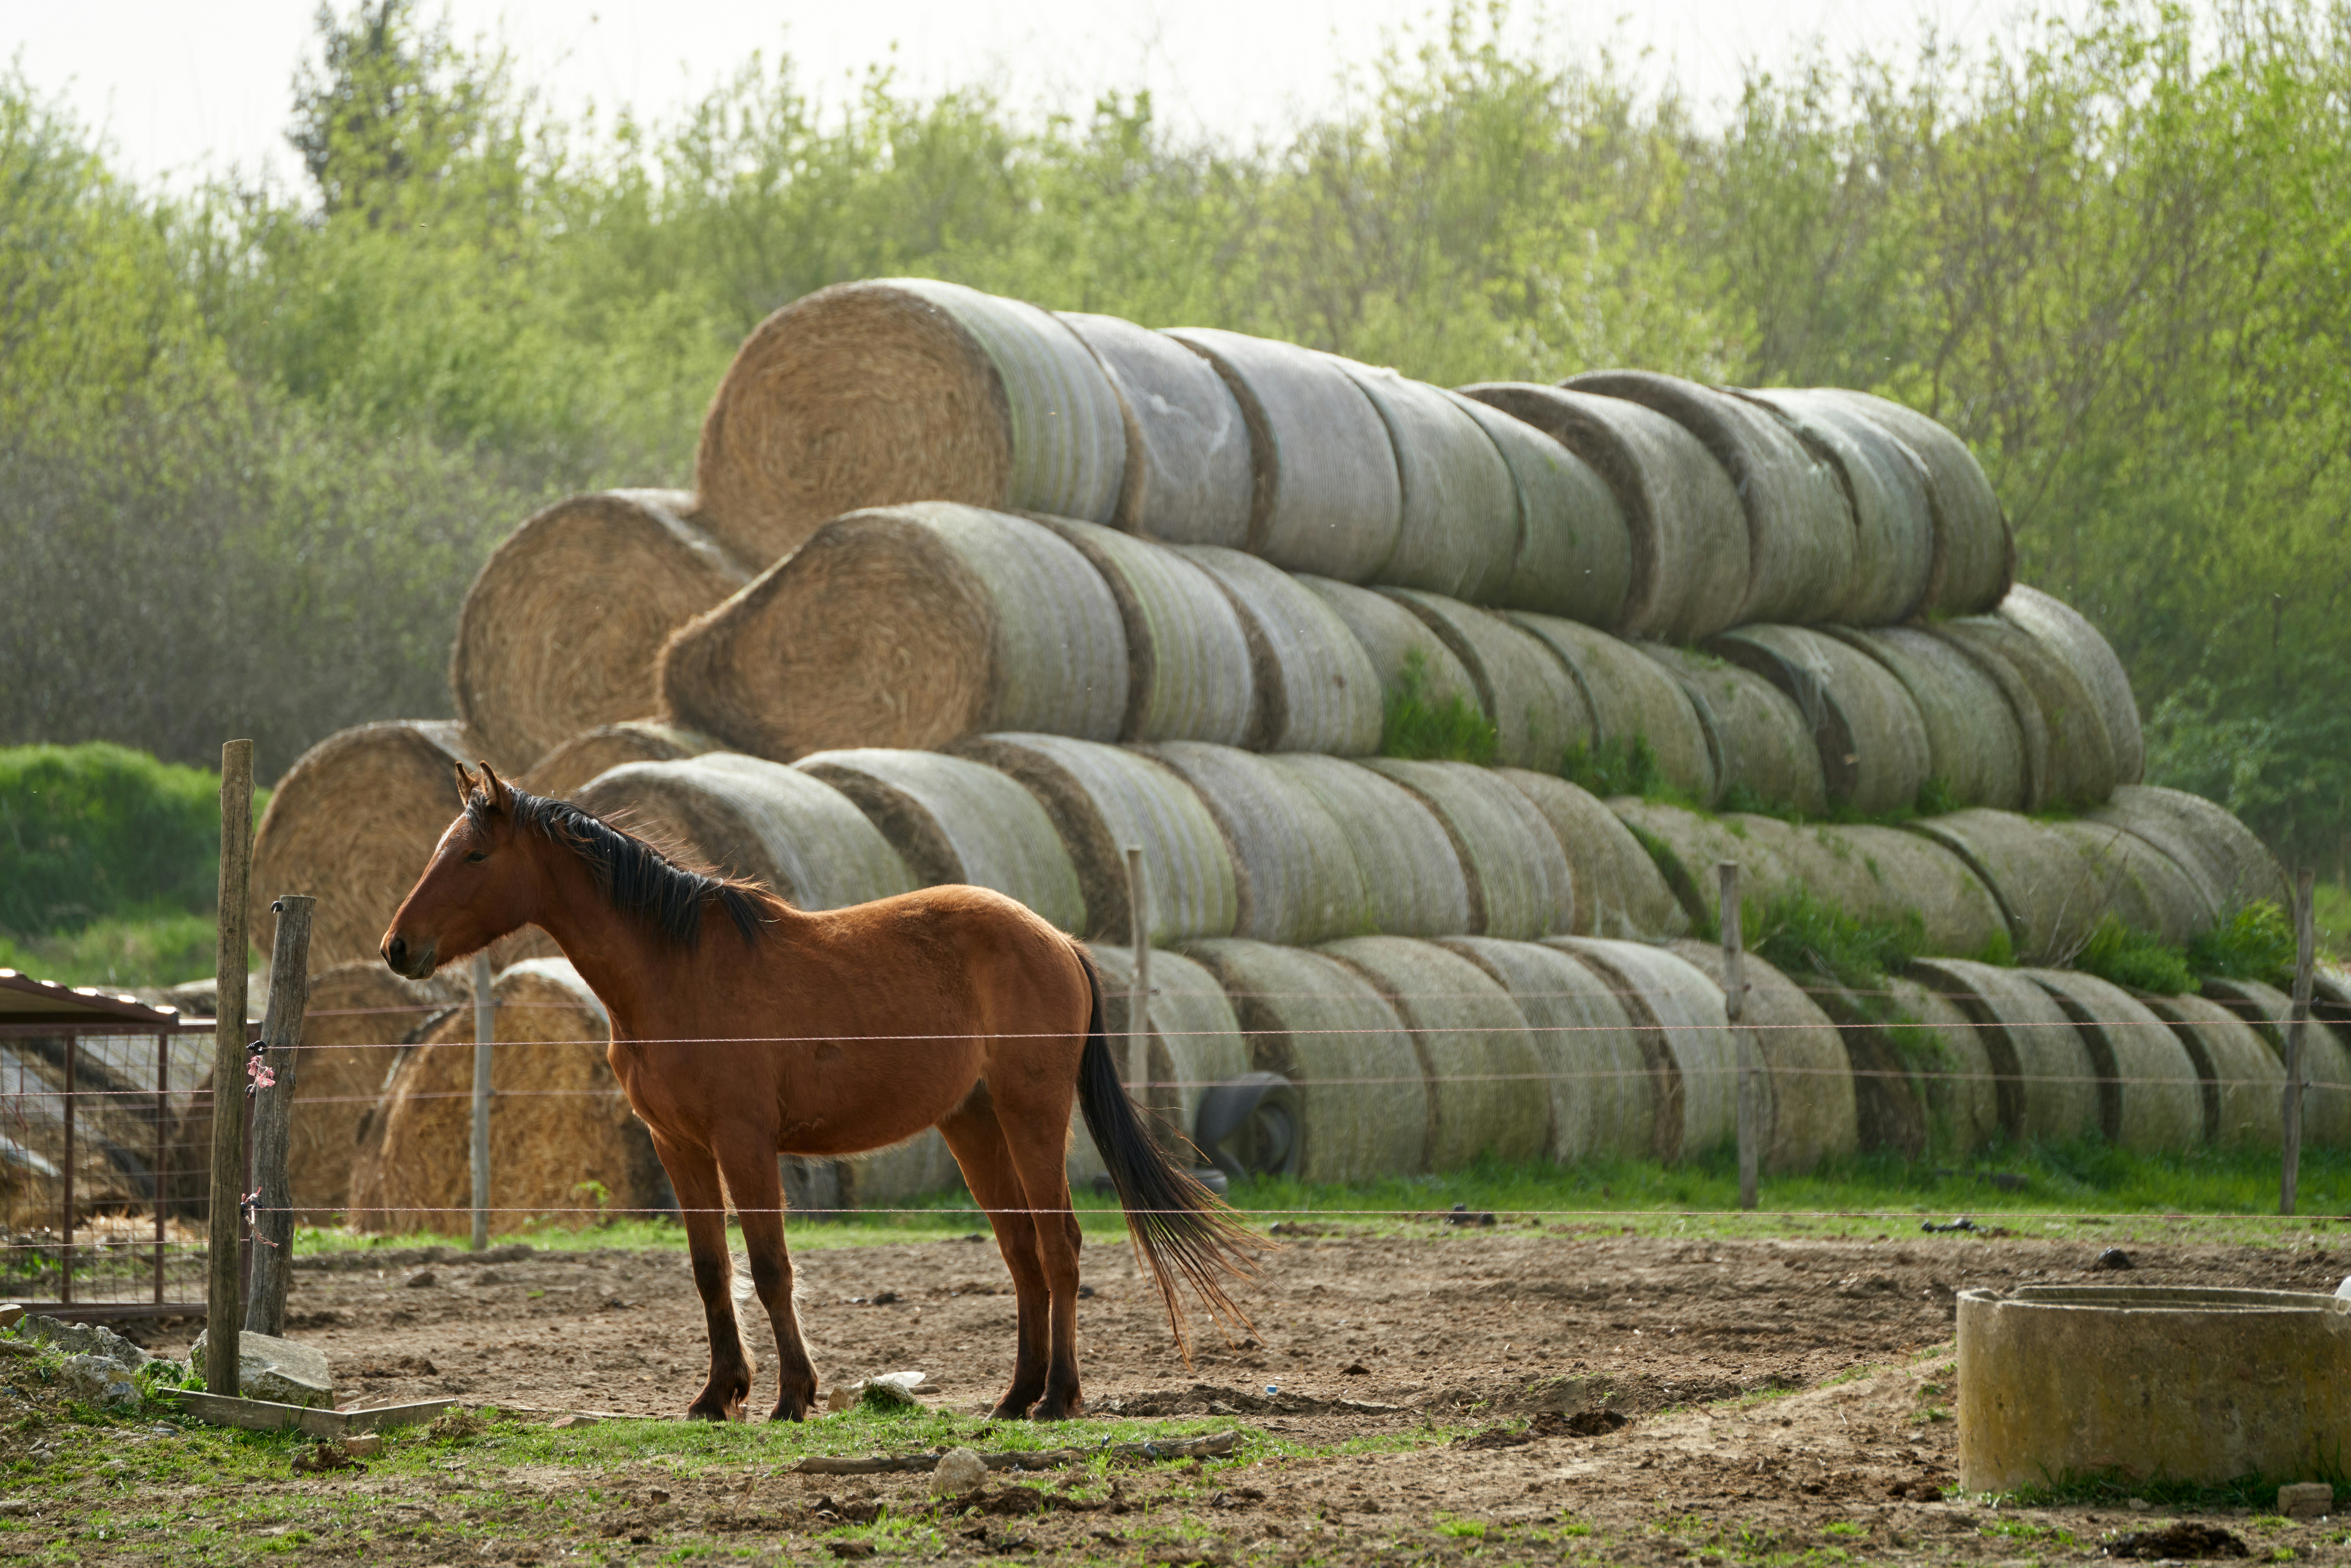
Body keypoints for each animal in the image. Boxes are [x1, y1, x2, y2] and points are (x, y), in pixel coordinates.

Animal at [379, 763, 1256, 1422]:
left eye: (474, 857)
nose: (397, 948)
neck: (675, 972)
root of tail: (1059, 941)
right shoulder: (679, 1146)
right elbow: (710, 1269)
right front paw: (717, 1395)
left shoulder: (744, 1142)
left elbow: (770, 1267)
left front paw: (791, 1395)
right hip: (974, 1124)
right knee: (1021, 1254)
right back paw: (1015, 1396)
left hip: (1030, 1114)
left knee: (1060, 1245)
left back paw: (1059, 1398)